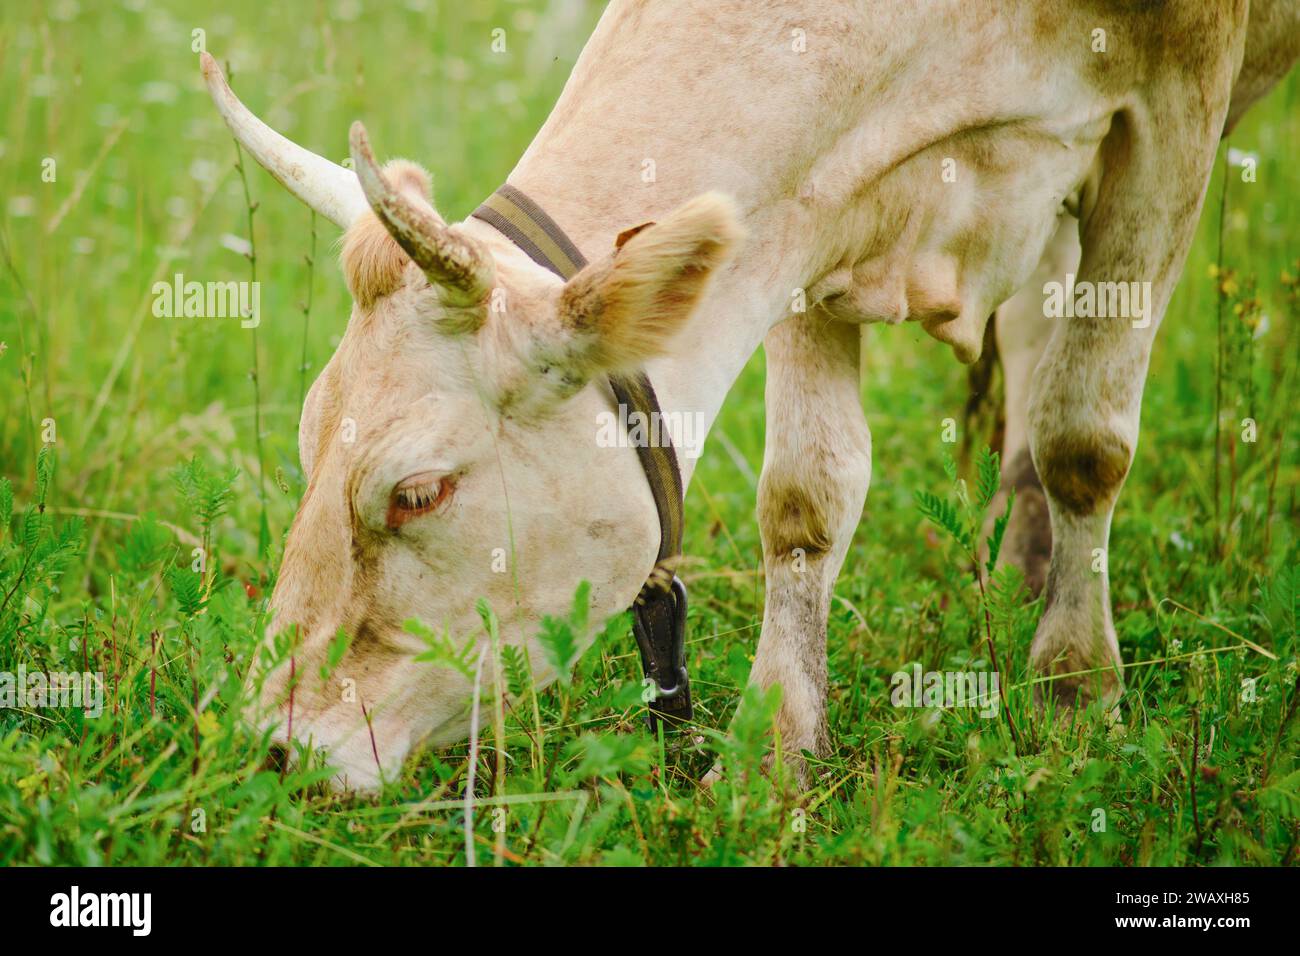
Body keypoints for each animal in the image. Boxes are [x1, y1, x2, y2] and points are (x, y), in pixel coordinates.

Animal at [201, 0, 1299, 790]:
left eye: (419, 490)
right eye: (306, 451)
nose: (272, 747)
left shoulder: (1174, 111)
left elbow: (1087, 440)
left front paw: (1075, 695)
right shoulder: (818, 216)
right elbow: (807, 493)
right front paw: (774, 753)